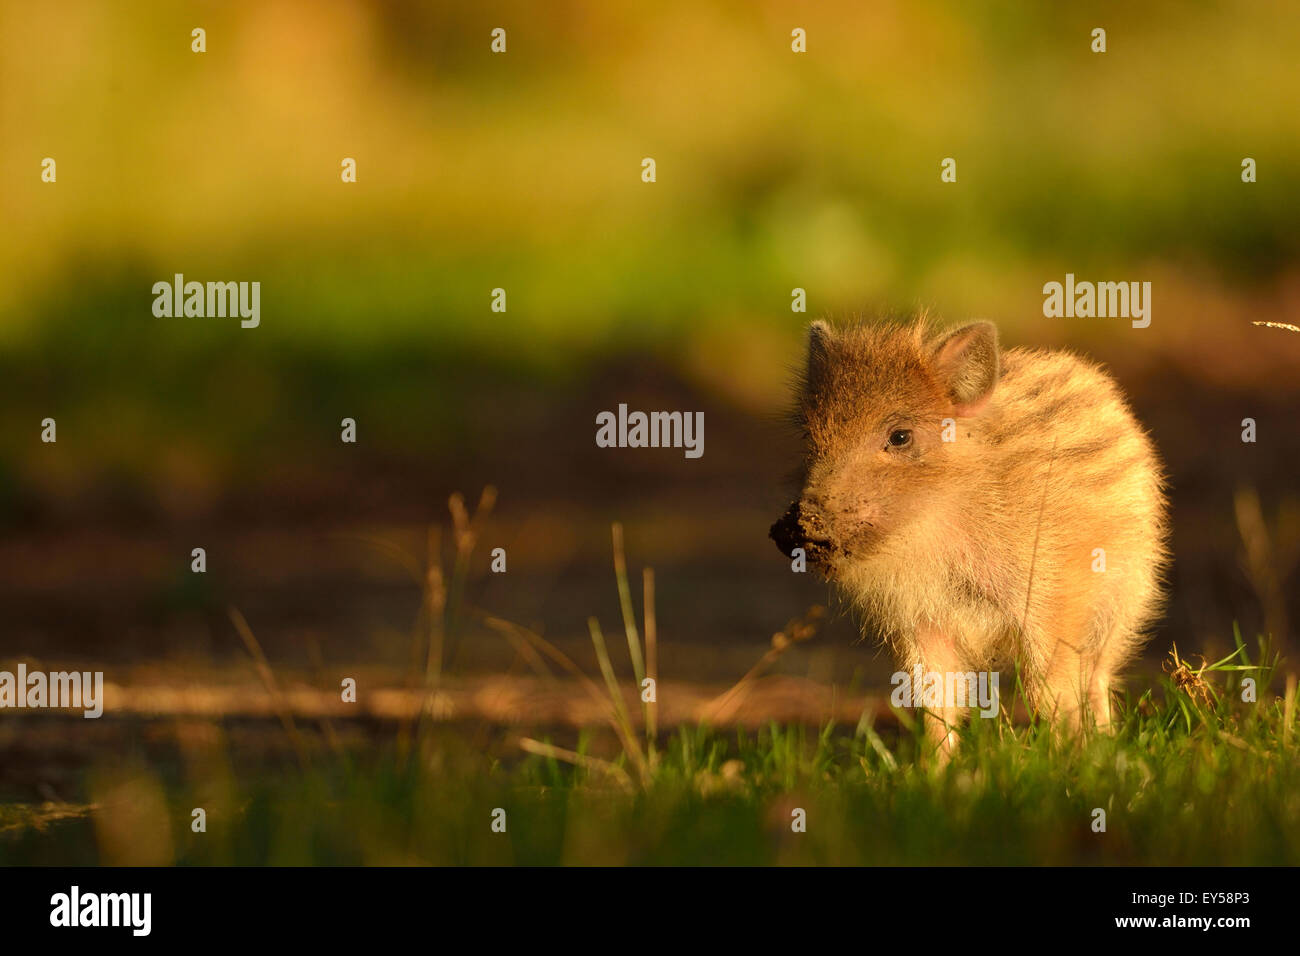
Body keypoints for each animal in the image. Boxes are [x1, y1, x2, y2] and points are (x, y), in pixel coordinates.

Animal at [770, 318, 1168, 750]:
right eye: (812, 437)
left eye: (900, 436)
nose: (796, 524)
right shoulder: (921, 623)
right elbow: (934, 703)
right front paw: (937, 766)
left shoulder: (1052, 600)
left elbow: (1050, 690)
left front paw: (1067, 754)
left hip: (1127, 600)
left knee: (1098, 675)